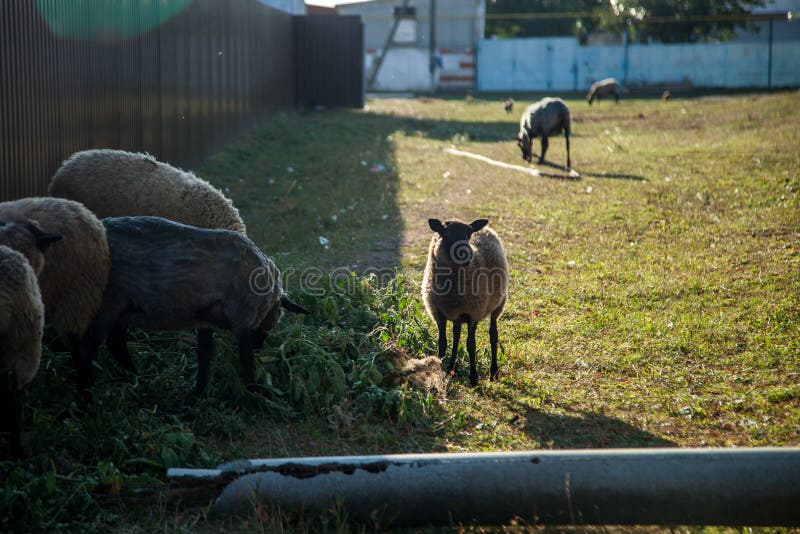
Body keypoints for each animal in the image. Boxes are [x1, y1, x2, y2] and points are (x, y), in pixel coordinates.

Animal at [76, 216, 309, 399]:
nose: (261, 347)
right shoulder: (241, 318)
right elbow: (246, 359)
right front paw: (253, 391)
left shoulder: (206, 319)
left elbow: (204, 354)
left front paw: (198, 393)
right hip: (106, 302)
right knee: (88, 348)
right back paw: (87, 397)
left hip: (119, 307)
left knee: (114, 342)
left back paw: (137, 376)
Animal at [421, 218, 508, 386]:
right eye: (445, 233)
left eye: (469, 234)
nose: (466, 255)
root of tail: (486, 229)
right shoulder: (438, 313)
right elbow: (443, 343)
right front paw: (441, 370)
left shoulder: (473, 313)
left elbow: (471, 345)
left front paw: (473, 378)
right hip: (457, 315)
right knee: (456, 335)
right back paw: (451, 368)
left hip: (498, 304)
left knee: (493, 335)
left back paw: (493, 373)